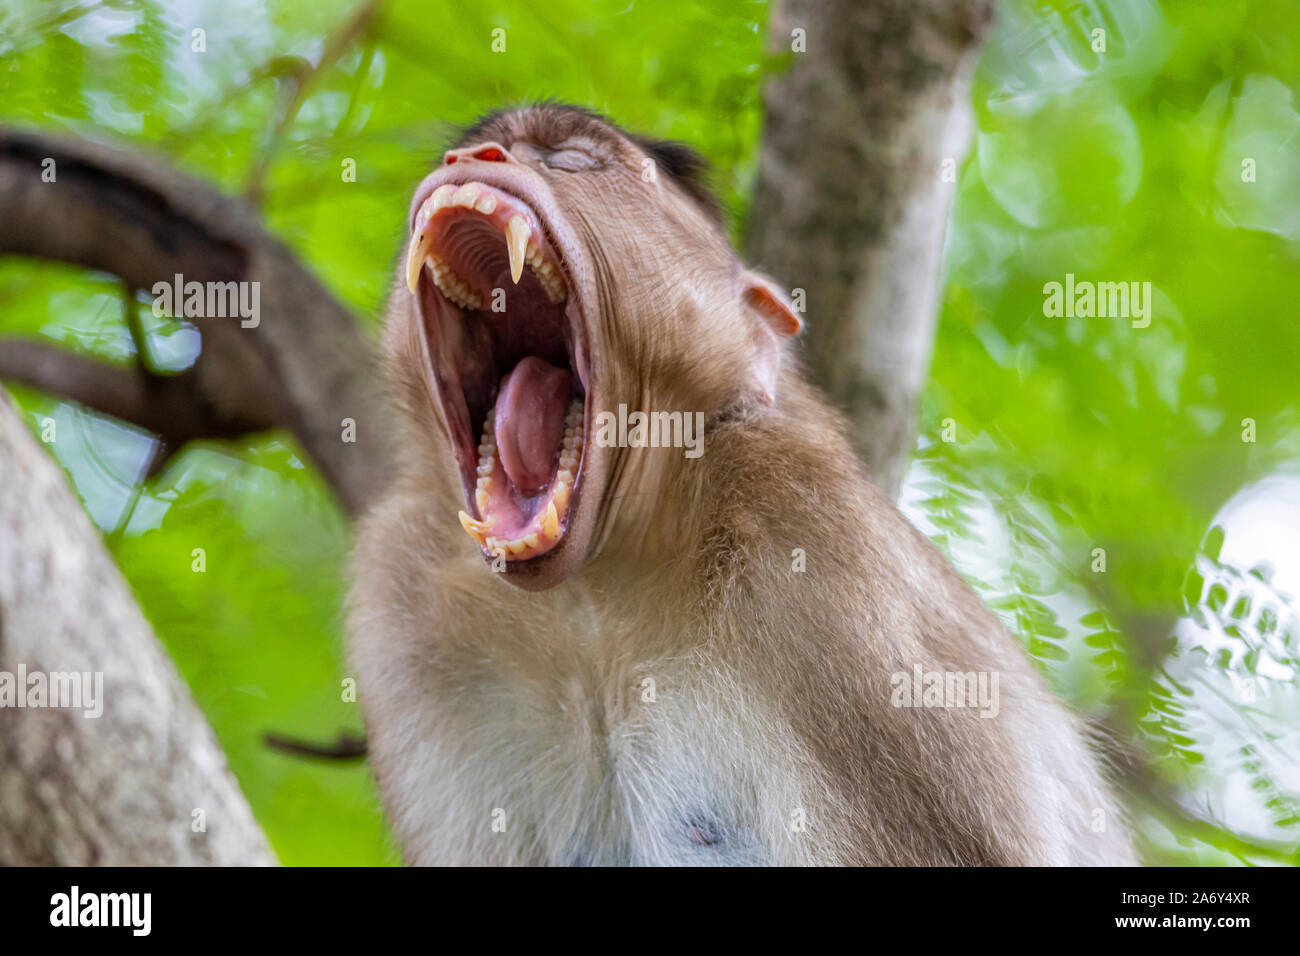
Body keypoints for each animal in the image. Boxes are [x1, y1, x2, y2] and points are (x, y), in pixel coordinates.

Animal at [348, 103, 1135, 866]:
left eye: (569, 160)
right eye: (479, 148)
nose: (473, 159)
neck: (595, 596)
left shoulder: (812, 532)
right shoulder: (404, 587)